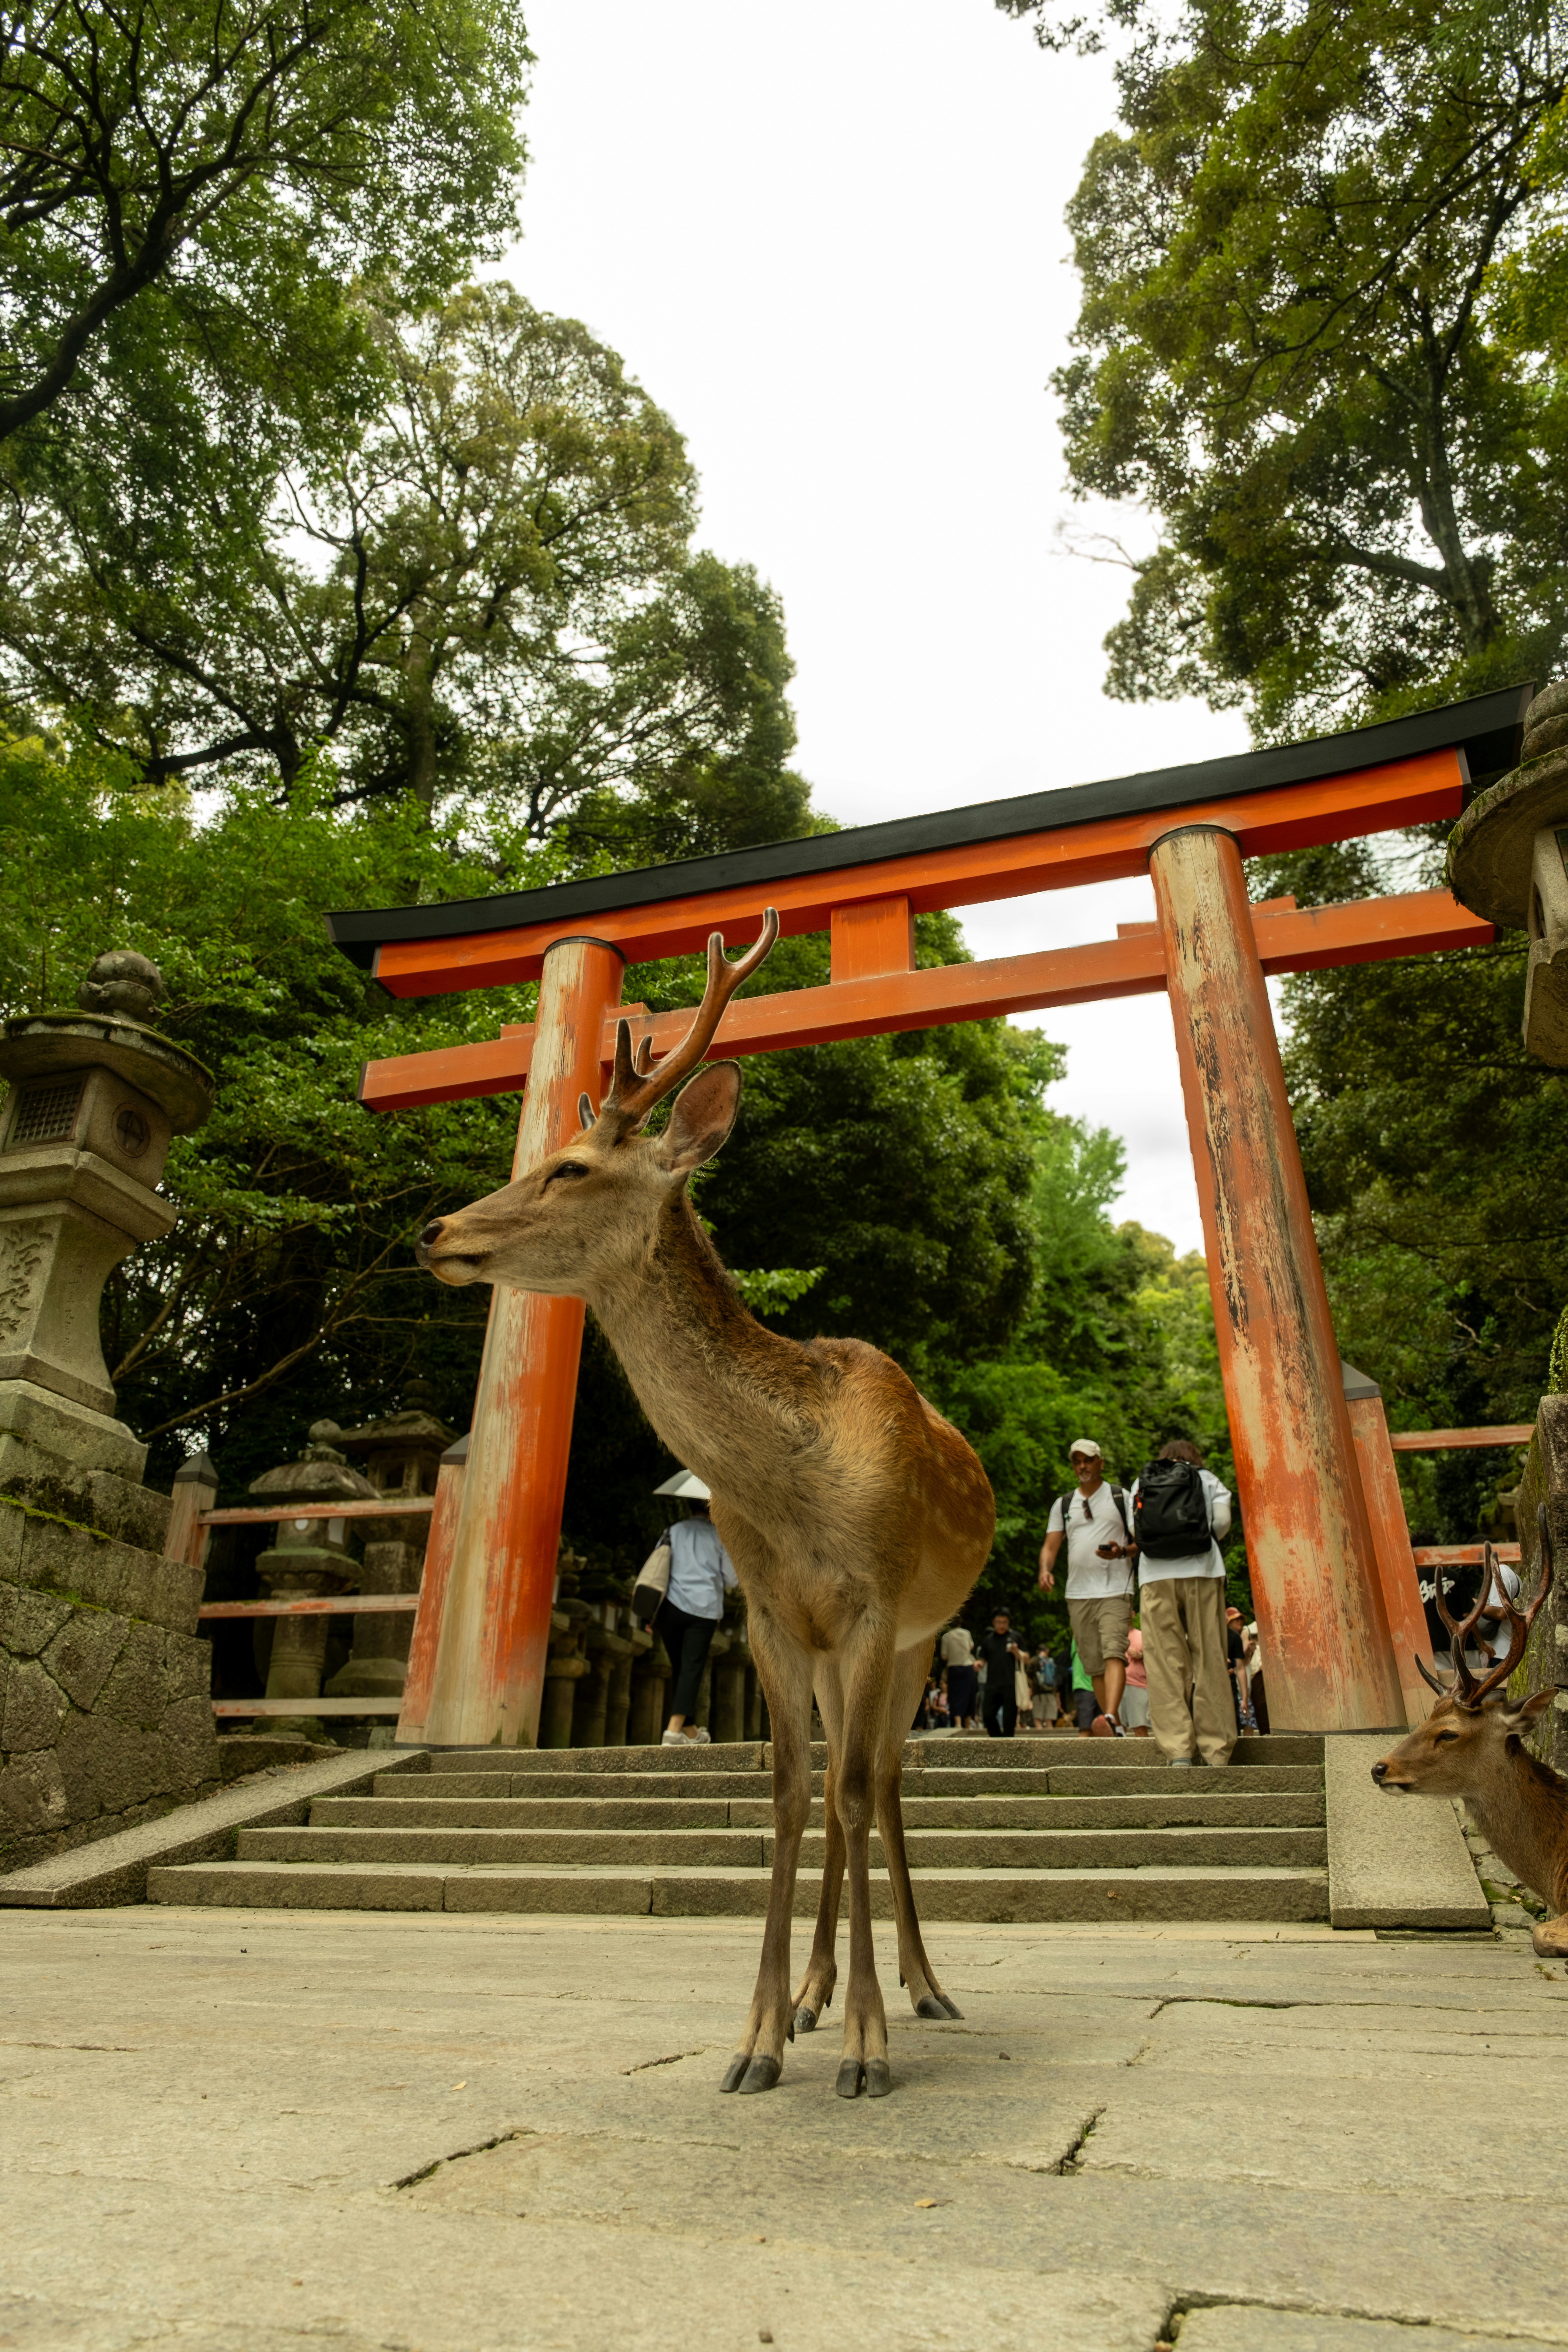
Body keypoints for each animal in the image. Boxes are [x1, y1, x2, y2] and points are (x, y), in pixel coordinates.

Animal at [415, 911, 996, 2098]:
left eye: (570, 1165)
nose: (435, 1230)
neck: (792, 1485)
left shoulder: (876, 1600)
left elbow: (855, 1790)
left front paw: (868, 2048)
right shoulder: (771, 1614)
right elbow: (786, 1794)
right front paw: (759, 2038)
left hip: (925, 1633)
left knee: (886, 1780)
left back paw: (923, 1987)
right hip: (831, 1648)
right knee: (840, 1784)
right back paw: (816, 1994)